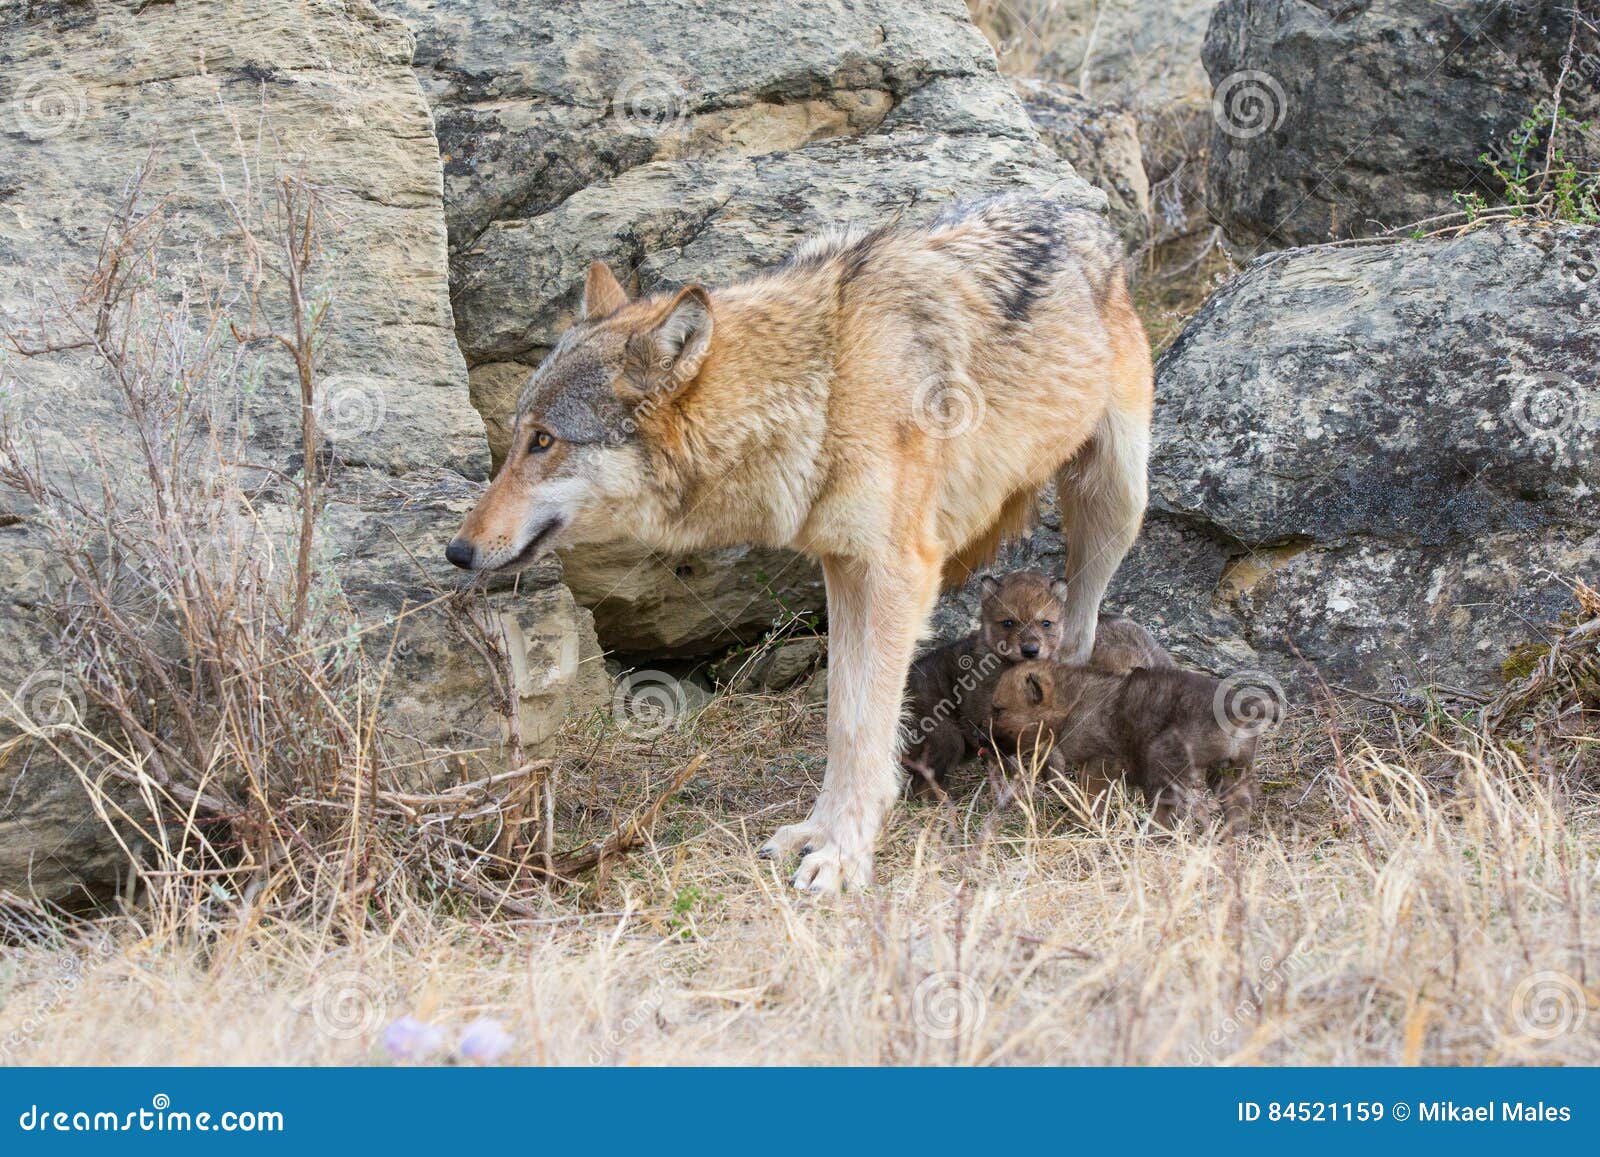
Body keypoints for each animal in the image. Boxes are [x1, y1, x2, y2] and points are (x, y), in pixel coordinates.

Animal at [445, 192, 1153, 892]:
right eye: (518, 434)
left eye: (544, 441)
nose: (457, 551)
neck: (825, 386)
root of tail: (1087, 215)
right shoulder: (844, 568)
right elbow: (843, 715)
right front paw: (819, 831)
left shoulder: (899, 575)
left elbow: (869, 724)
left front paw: (845, 856)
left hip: (1113, 512)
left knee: (1079, 633)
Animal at [987, 661, 1281, 835]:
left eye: (999, 710)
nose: (985, 743)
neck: (1073, 702)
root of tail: (1237, 713)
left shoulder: (1100, 762)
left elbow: (1091, 796)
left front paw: (1085, 822)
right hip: (1230, 771)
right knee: (1240, 803)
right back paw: (1232, 835)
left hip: (1162, 759)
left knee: (1167, 809)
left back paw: (1150, 836)